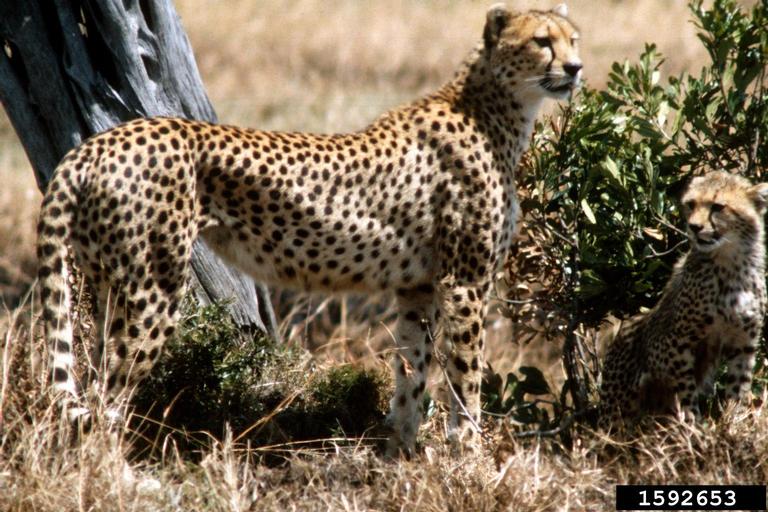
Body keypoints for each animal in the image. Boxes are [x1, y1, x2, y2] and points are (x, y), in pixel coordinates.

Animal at [36, 3, 582, 455]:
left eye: (573, 39)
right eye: (542, 41)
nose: (575, 68)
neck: (496, 109)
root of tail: (98, 142)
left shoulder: (419, 286)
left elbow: (412, 372)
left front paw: (399, 456)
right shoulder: (464, 283)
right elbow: (466, 380)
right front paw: (468, 460)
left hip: (109, 282)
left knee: (94, 377)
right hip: (154, 286)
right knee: (106, 396)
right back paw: (124, 477)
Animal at [599, 171, 768, 428]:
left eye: (718, 207)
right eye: (691, 204)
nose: (694, 227)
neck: (731, 263)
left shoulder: (744, 342)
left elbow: (738, 389)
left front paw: (733, 423)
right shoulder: (677, 342)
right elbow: (686, 392)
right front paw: (695, 426)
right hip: (619, 411)